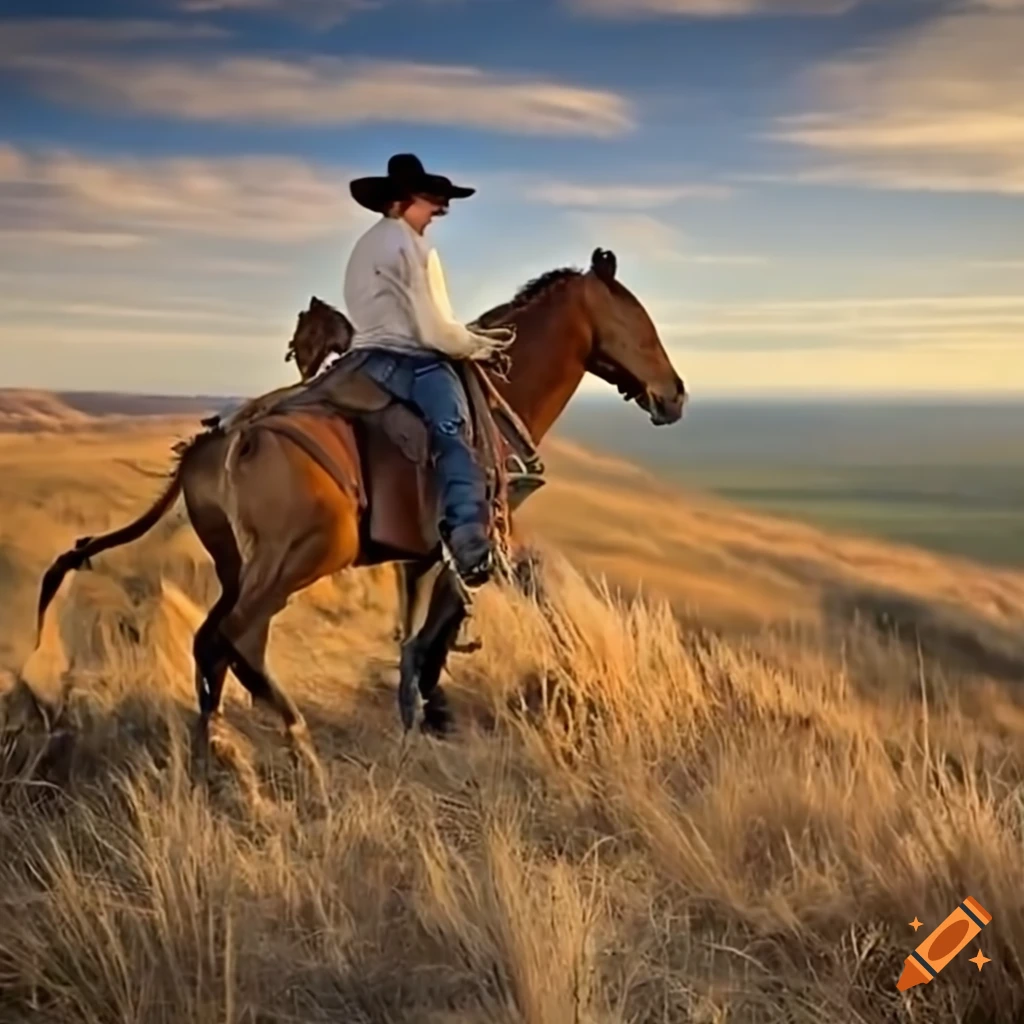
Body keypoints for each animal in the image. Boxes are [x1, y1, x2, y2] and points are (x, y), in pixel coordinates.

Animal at [32, 247, 686, 761]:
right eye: (641, 323)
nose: (675, 394)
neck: (500, 398)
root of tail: (219, 440)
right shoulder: (467, 549)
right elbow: (437, 634)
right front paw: (432, 715)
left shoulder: (422, 556)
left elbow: (420, 634)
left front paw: (421, 712)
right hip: (300, 557)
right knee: (235, 639)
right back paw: (290, 738)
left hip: (238, 565)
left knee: (215, 645)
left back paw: (217, 753)